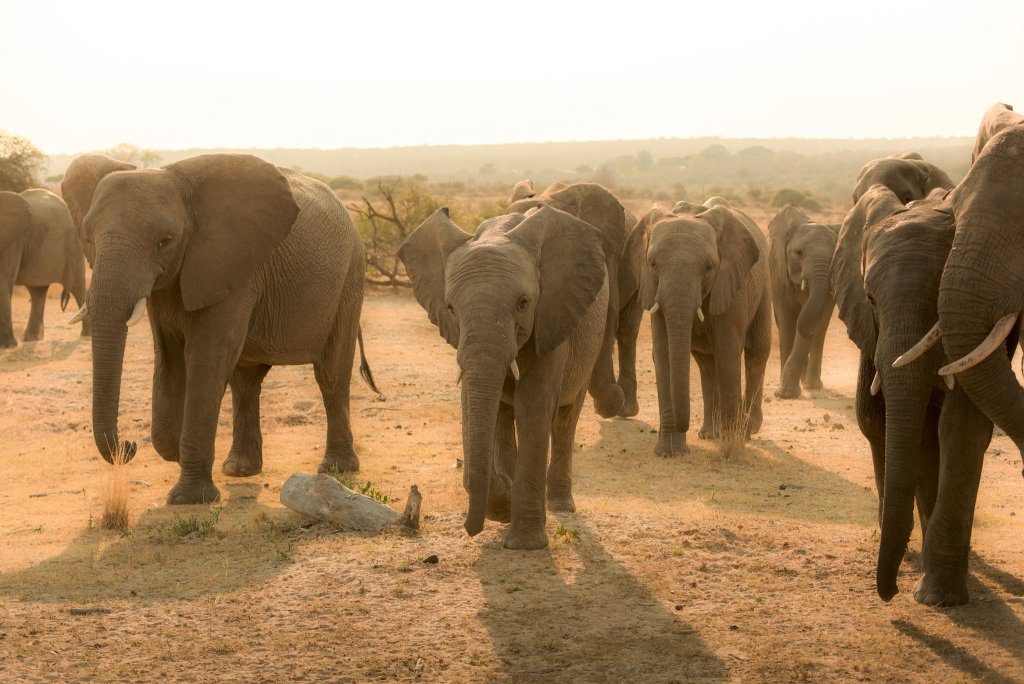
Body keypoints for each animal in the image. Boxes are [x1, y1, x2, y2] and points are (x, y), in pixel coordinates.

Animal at [0, 189, 89, 347]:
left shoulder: (12, 240)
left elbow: (3, 283)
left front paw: (7, 346)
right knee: (37, 291)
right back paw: (32, 339)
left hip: (73, 243)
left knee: (77, 288)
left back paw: (87, 335)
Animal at [60, 153, 376, 504]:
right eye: (88, 239)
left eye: (164, 242)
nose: (128, 447)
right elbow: (169, 359)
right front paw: (174, 451)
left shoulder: (232, 265)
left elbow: (207, 357)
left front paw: (188, 498)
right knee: (246, 381)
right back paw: (238, 470)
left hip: (350, 278)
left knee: (330, 375)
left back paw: (337, 469)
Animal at [398, 204, 609, 550]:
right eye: (450, 308)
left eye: (523, 304)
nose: (471, 529)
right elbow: (486, 404)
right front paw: (504, 505)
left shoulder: (551, 316)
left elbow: (533, 407)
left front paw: (525, 544)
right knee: (506, 416)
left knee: (565, 418)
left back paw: (560, 505)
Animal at [624, 198, 771, 456]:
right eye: (652, 264)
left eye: (709, 267)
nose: (684, 425)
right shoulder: (653, 289)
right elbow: (664, 353)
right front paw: (670, 453)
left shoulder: (731, 285)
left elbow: (728, 350)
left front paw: (732, 449)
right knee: (707, 364)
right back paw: (711, 433)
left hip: (763, 288)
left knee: (756, 352)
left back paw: (748, 429)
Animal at [767, 205, 839, 398]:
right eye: (798, 253)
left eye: (834, 256)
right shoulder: (778, 273)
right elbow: (786, 321)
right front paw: (784, 393)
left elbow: (815, 317)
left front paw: (787, 392)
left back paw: (811, 385)